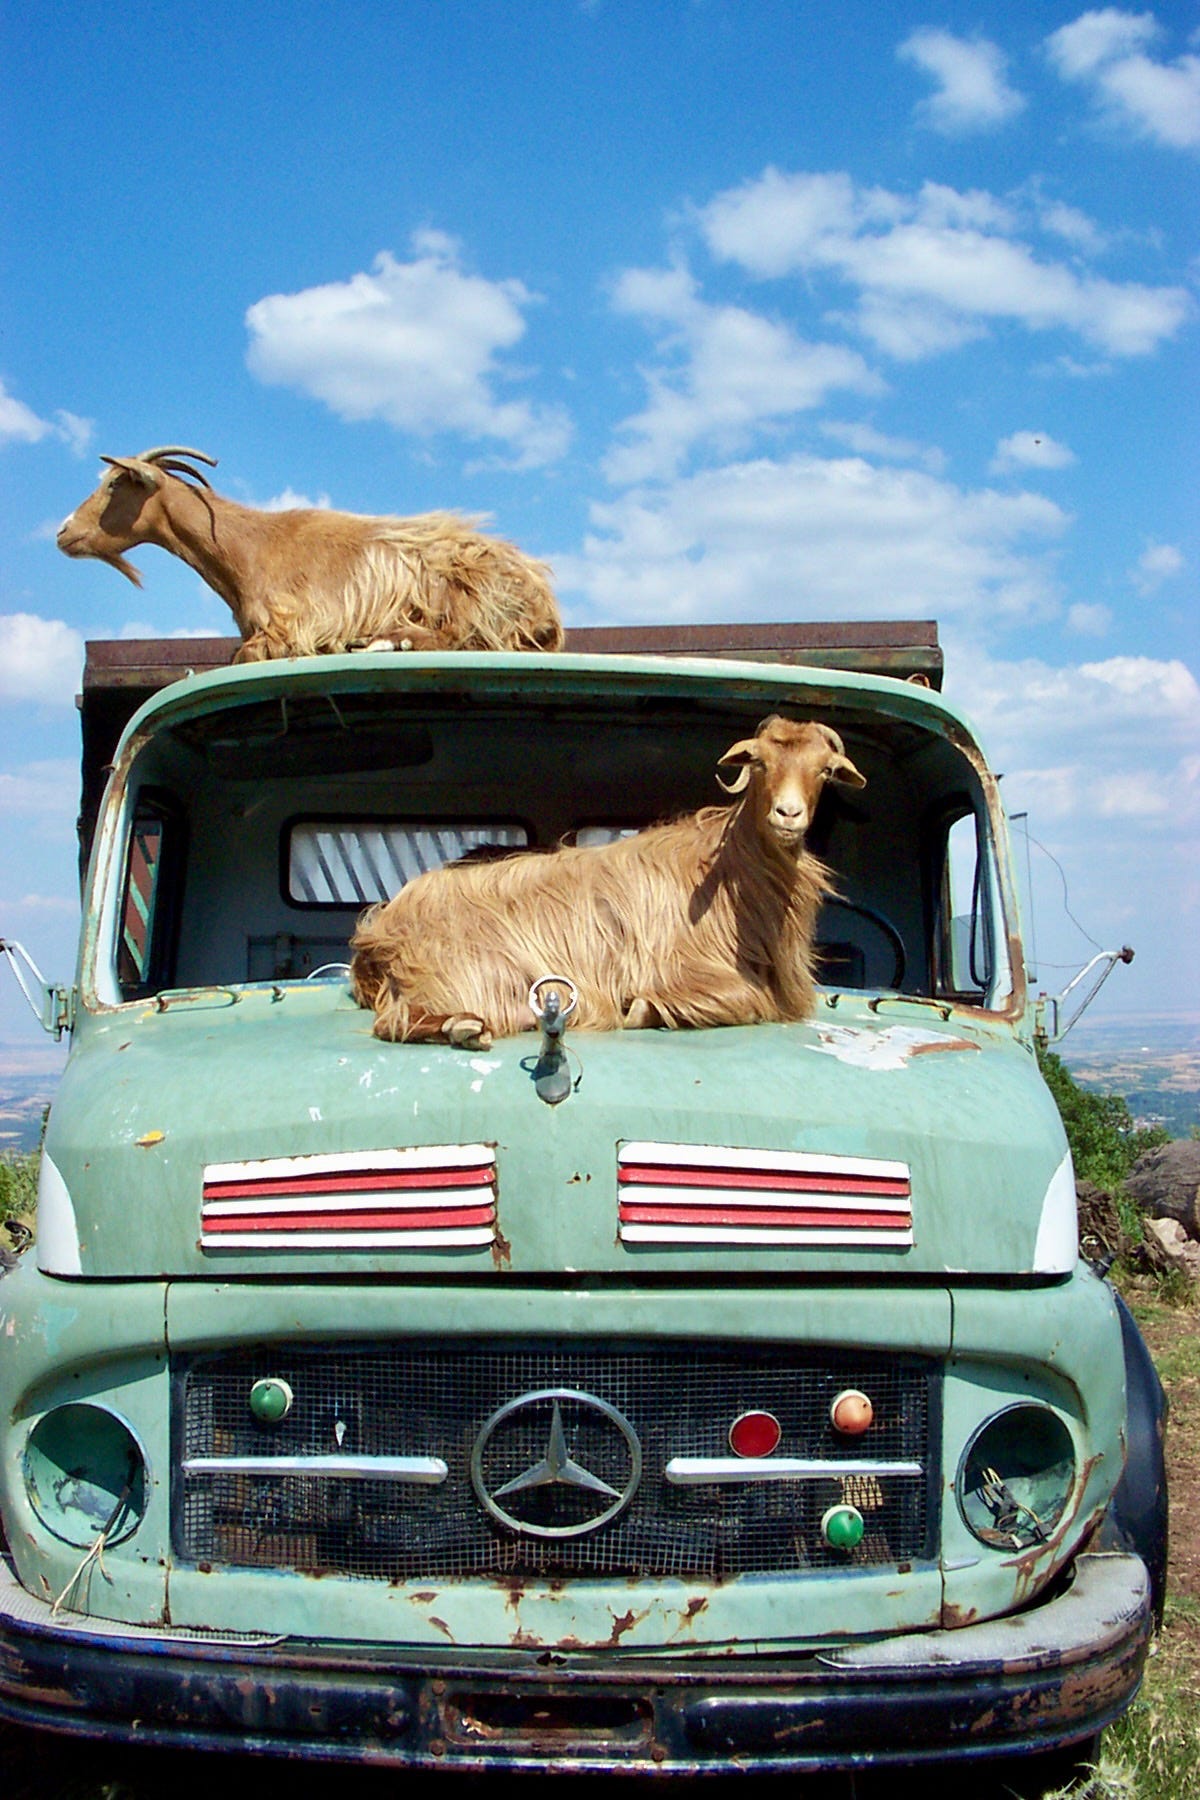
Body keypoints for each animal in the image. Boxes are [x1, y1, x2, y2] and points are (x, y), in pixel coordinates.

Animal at [56, 446, 564, 660]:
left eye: (114, 483)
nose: (63, 532)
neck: (248, 549)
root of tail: (545, 603)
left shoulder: (294, 623)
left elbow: (245, 656)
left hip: (467, 593)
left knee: (461, 634)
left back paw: (384, 639)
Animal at [349, 716, 866, 1048]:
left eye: (825, 770)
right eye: (759, 763)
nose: (788, 814)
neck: (727, 870)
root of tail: (380, 930)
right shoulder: (684, 970)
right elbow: (747, 1001)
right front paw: (640, 1009)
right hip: (463, 971)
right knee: (393, 1022)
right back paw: (460, 1028)